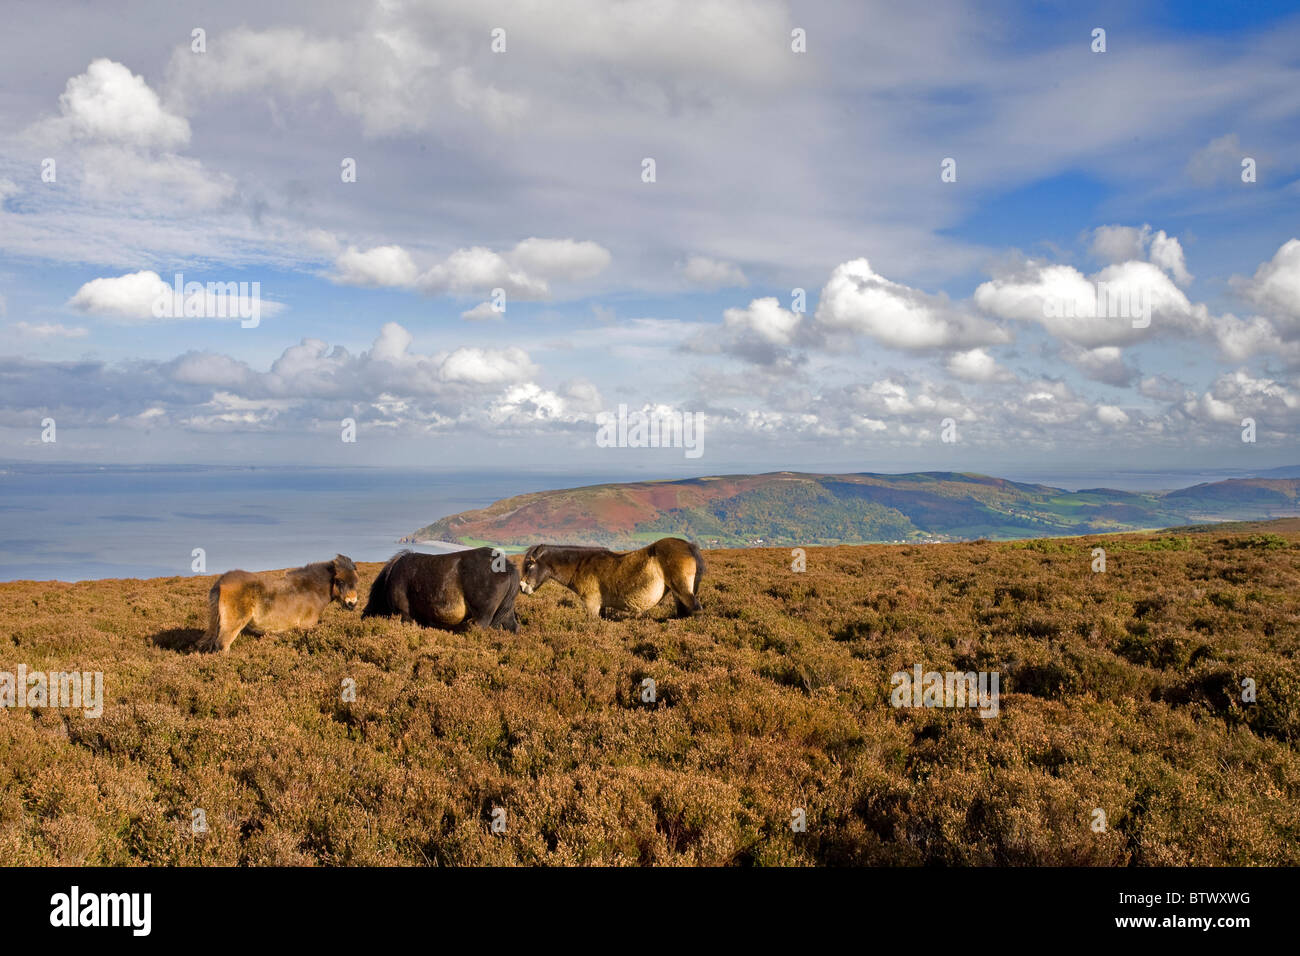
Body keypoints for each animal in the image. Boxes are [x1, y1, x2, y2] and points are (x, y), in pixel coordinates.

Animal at [197, 555, 359, 653]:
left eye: (356, 582)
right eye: (340, 581)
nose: (352, 603)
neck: (312, 588)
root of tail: (221, 581)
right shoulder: (307, 625)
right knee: (222, 645)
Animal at [518, 537, 704, 619]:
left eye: (530, 565)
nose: (521, 587)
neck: (581, 565)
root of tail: (688, 545)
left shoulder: (592, 604)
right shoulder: (601, 606)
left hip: (683, 591)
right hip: (677, 594)